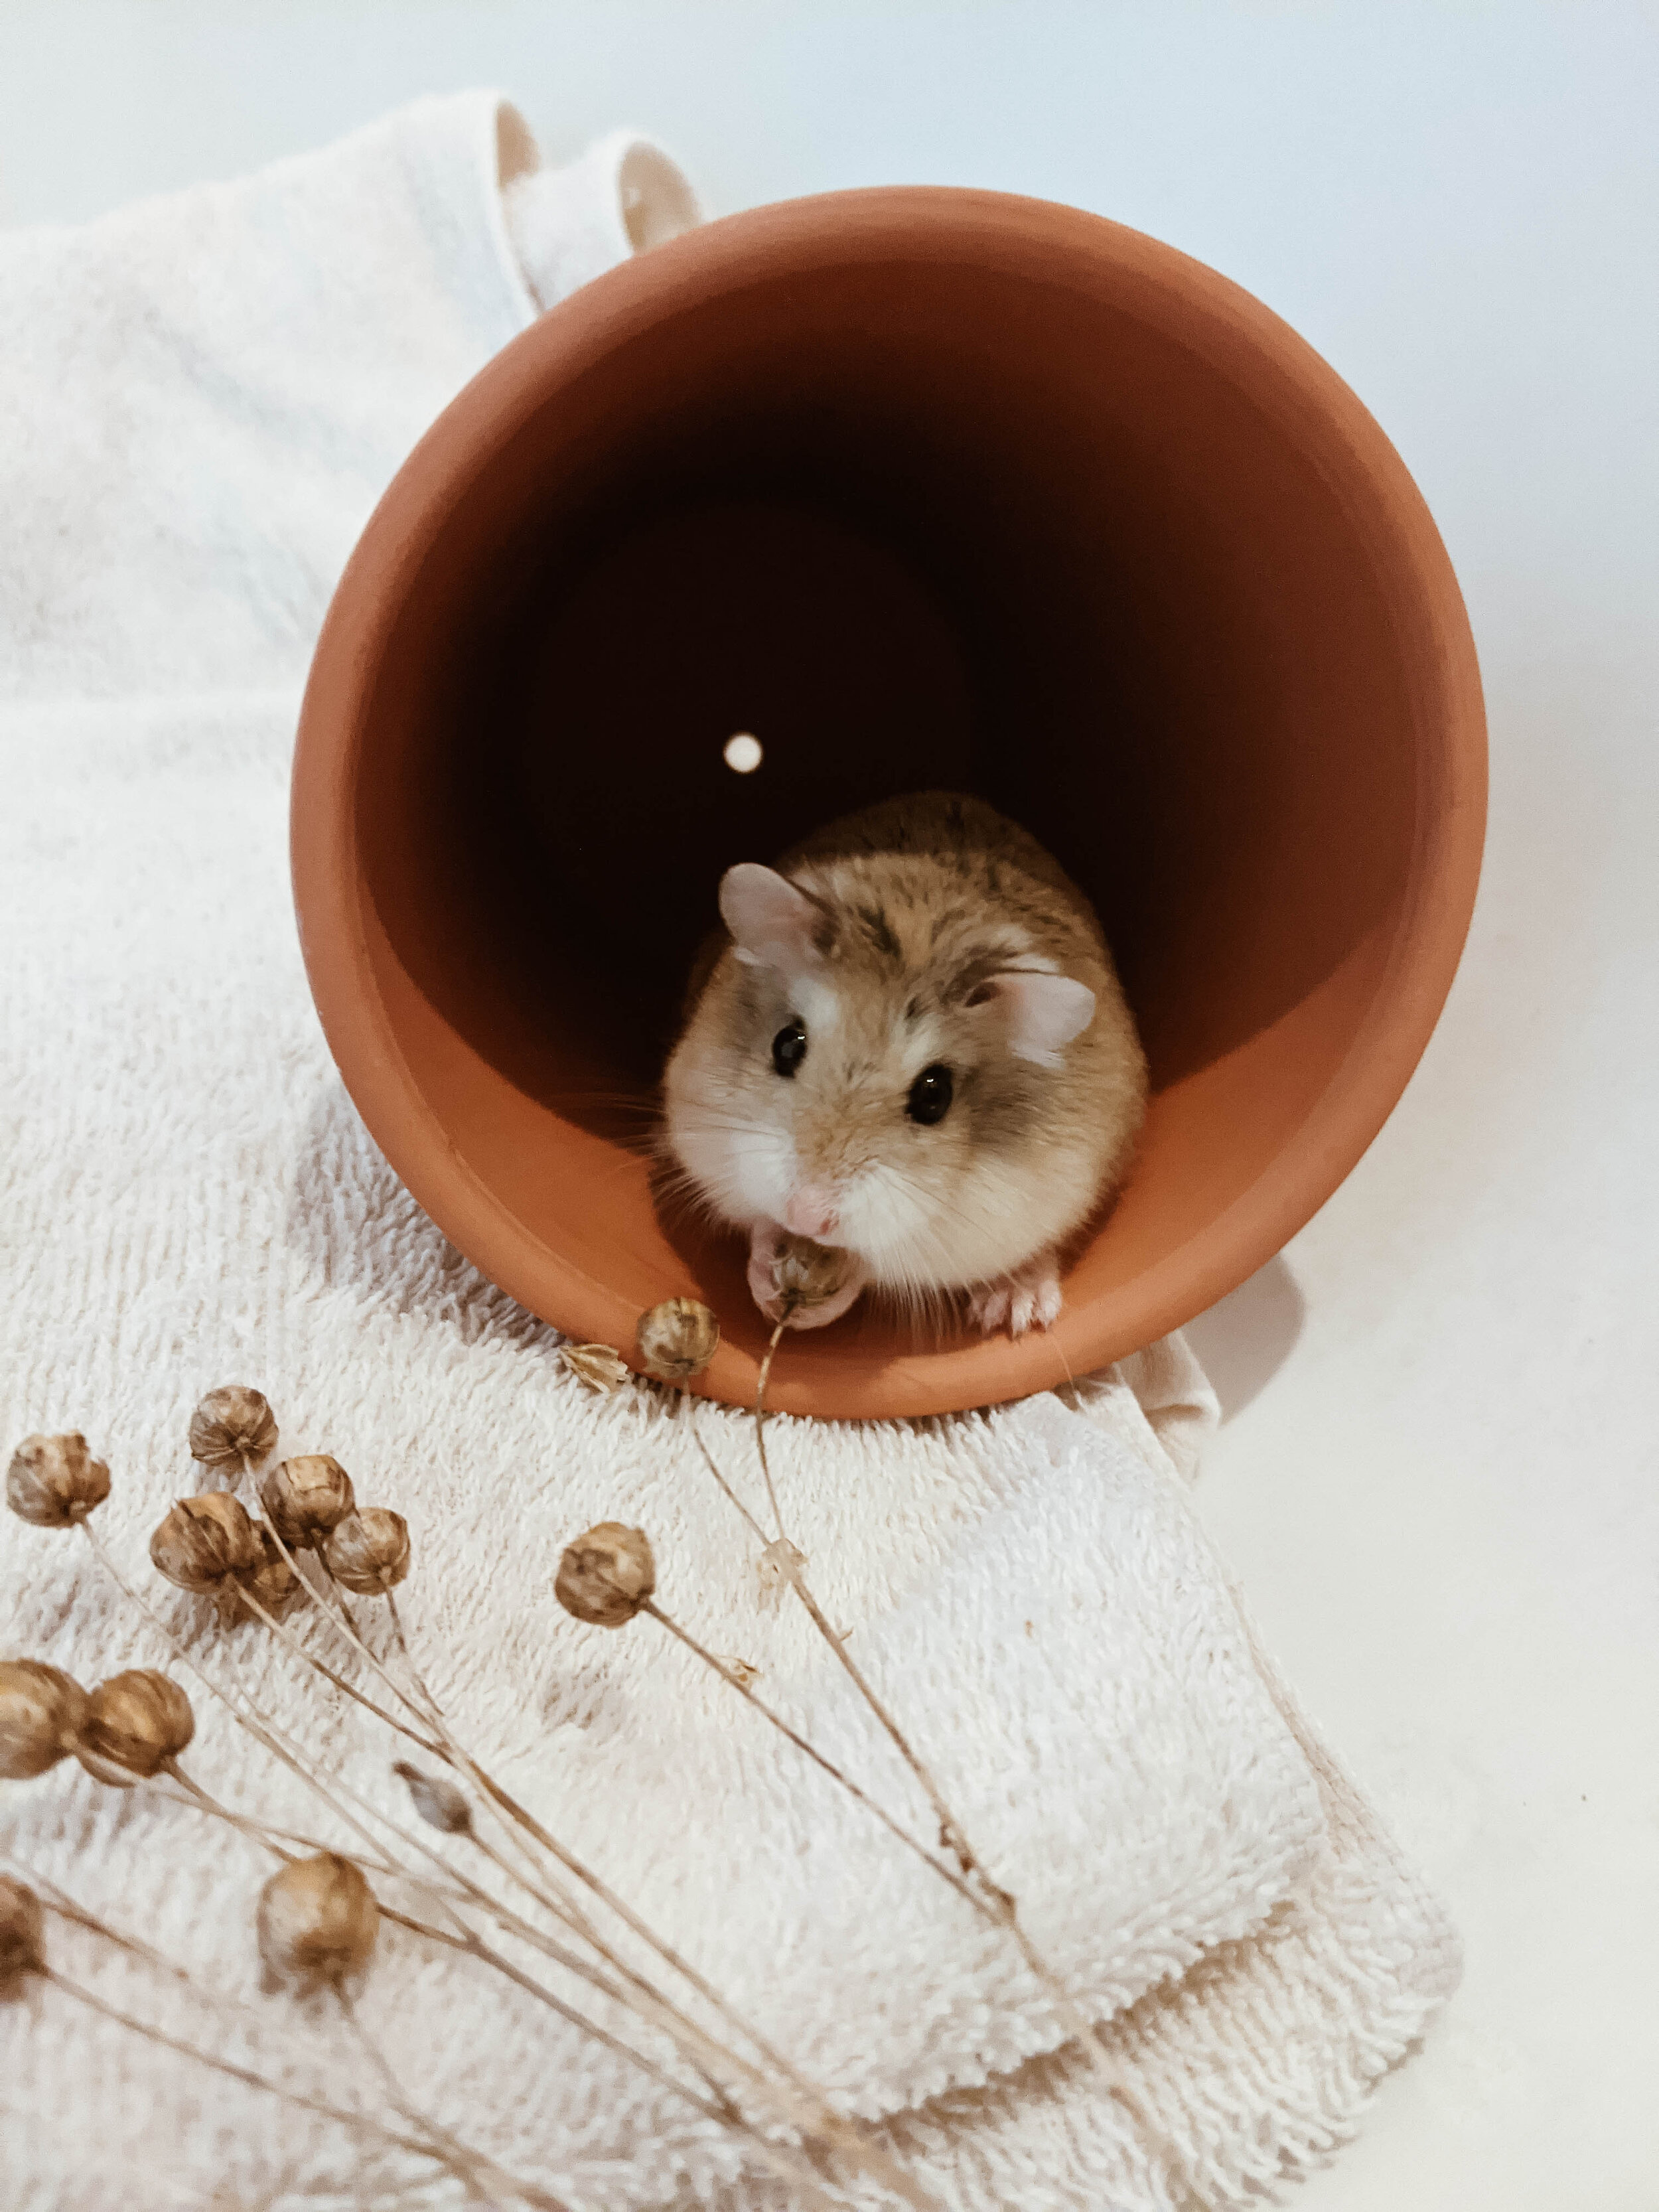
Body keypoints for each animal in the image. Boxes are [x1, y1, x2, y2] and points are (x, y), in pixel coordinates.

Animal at [661, 792, 1147, 1336]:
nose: (807, 1217)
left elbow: (870, 1265)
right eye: (786, 1046)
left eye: (935, 1095)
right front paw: (770, 1284)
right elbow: (760, 1224)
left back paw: (1015, 1308)